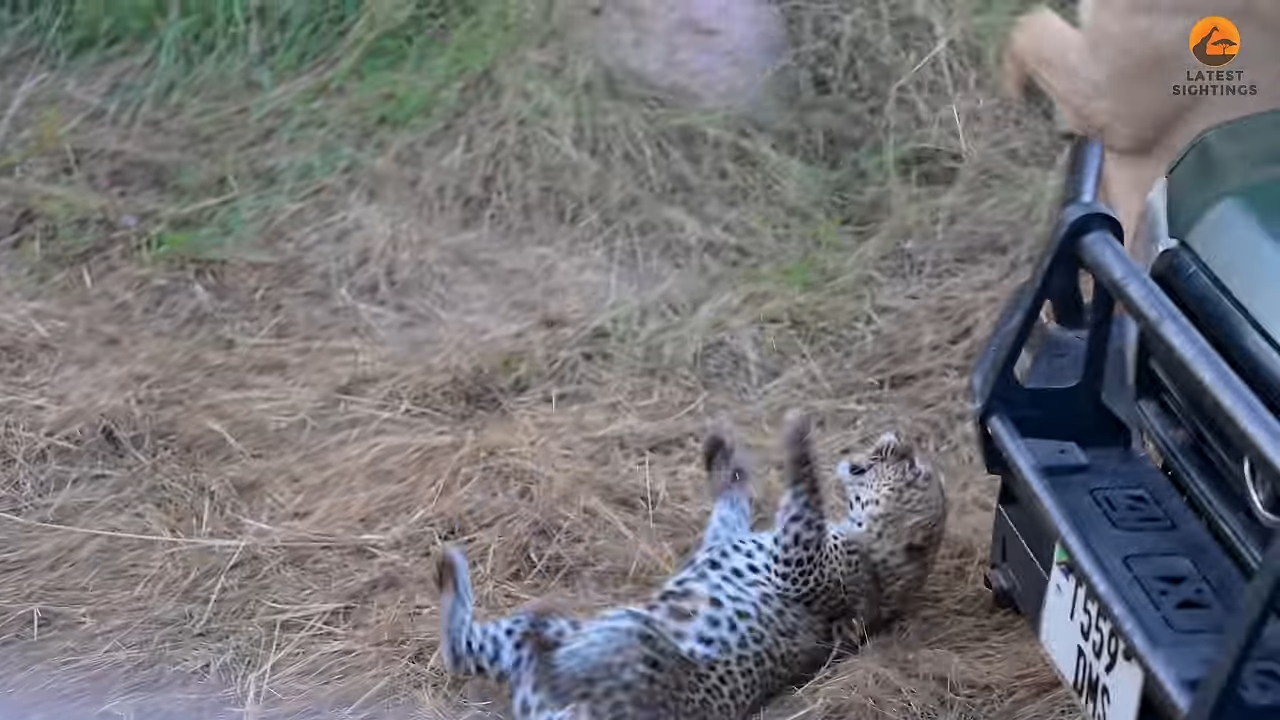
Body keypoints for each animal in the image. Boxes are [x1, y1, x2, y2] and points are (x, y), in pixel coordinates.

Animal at [434, 409, 948, 719]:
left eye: (914, 468)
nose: (897, 440)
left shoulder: (802, 564)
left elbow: (803, 502)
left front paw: (797, 441)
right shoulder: (730, 540)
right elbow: (732, 505)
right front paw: (724, 458)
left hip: (623, 643)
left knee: (468, 650)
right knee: (466, 648)